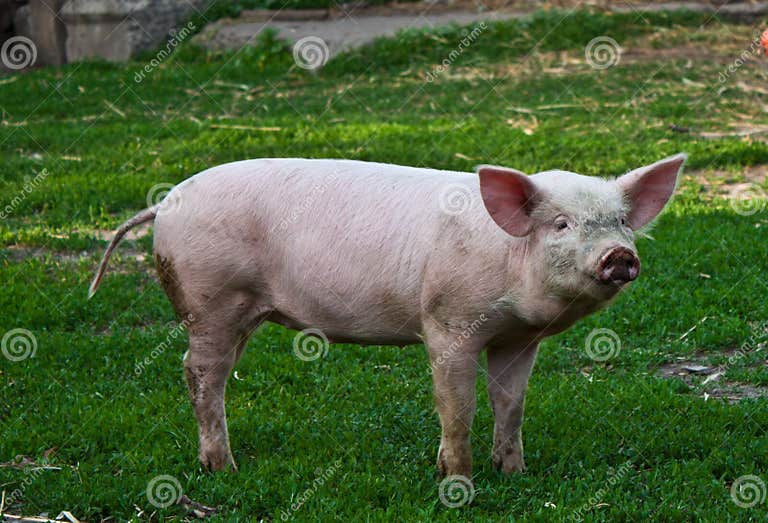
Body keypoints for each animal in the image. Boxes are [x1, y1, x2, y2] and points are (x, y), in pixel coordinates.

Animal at [89, 154, 686, 479]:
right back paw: (222, 468)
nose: (619, 255)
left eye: (619, 222)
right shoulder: (447, 323)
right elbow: (459, 407)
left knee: (208, 373)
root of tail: (165, 203)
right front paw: (457, 482)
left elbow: (511, 405)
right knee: (199, 374)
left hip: (237, 312)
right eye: (561, 224)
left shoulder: (519, 339)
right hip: (210, 299)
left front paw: (514, 472)